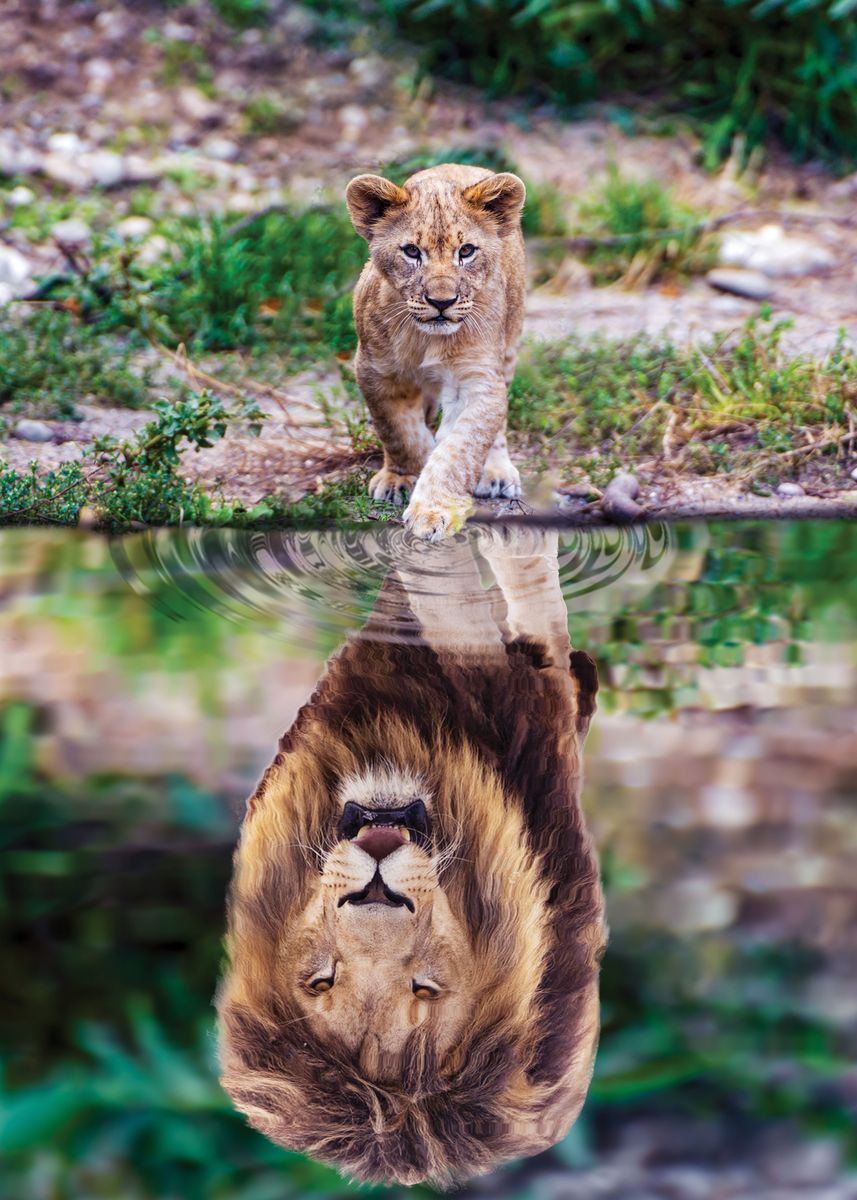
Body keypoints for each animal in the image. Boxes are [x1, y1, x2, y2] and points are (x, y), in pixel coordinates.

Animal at [345, 163, 527, 542]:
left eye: (467, 251)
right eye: (412, 251)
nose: (441, 302)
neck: (425, 339)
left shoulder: (477, 379)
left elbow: (460, 449)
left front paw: (432, 510)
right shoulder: (374, 370)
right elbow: (400, 434)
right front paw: (404, 476)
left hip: (510, 342)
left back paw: (496, 472)